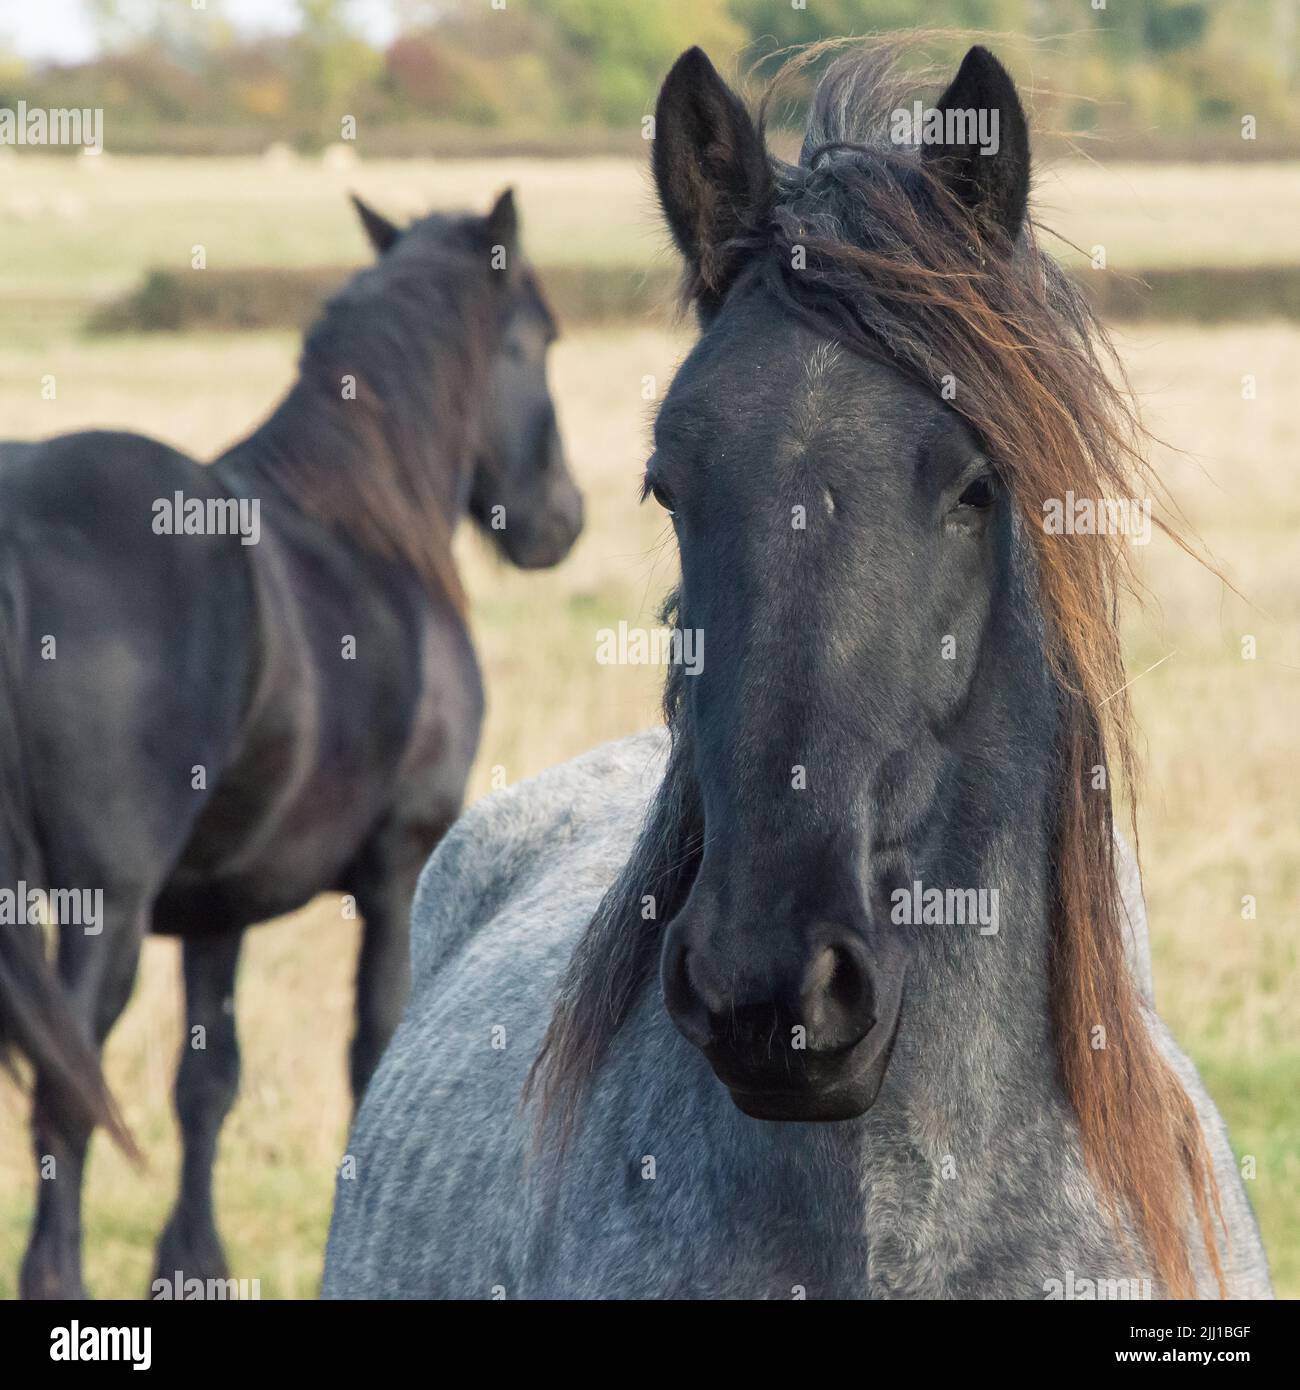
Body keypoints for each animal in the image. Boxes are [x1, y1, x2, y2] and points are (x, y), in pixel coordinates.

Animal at [0, 187, 583, 1299]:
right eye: (538, 338)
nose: (560, 521)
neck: (364, 519)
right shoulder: (400, 867)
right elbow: (372, 1050)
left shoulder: (216, 905)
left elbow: (205, 1082)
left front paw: (192, 1264)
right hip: (104, 913)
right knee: (67, 1099)